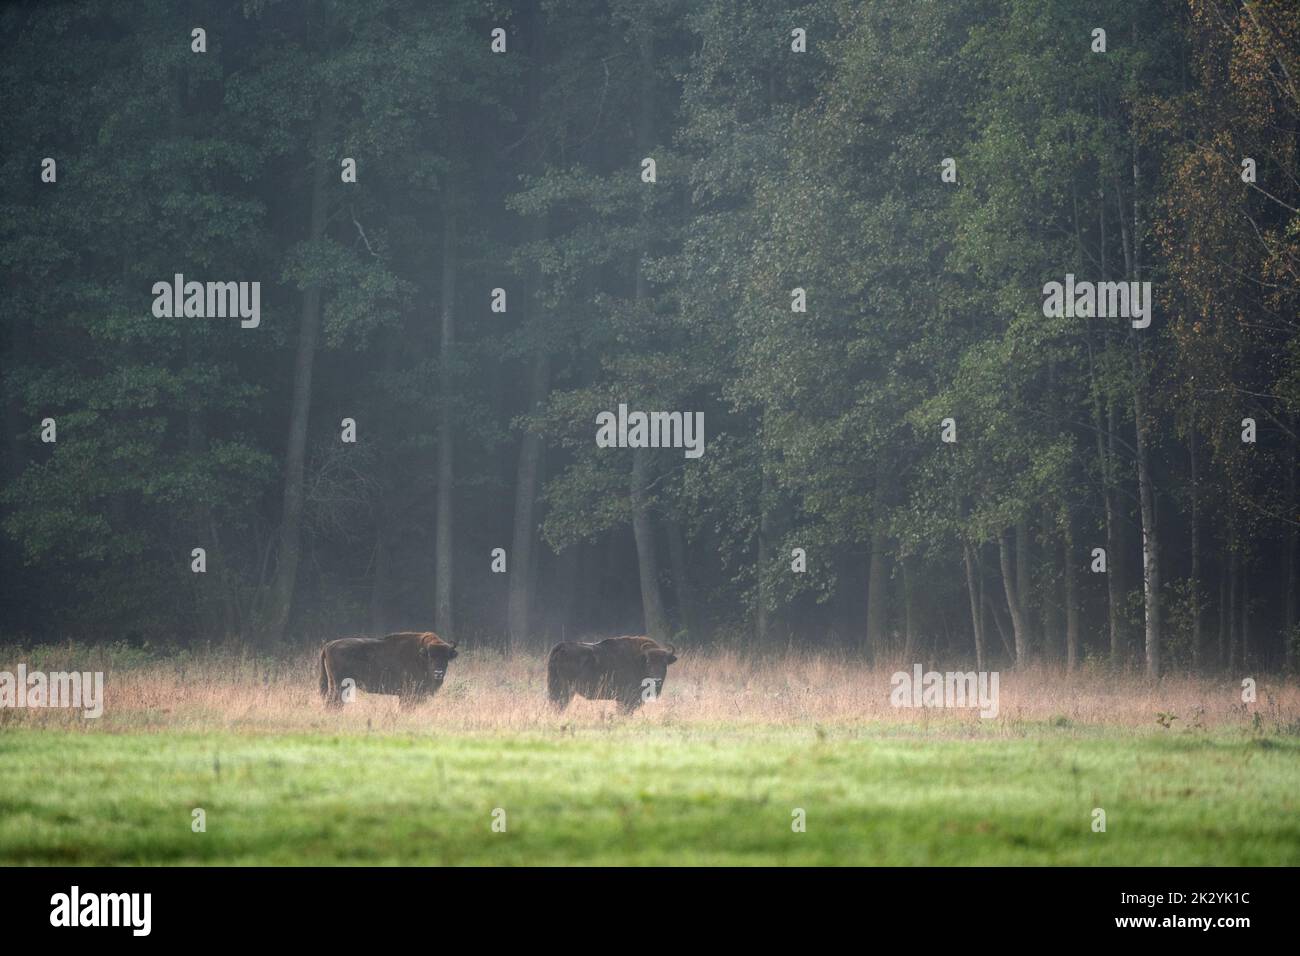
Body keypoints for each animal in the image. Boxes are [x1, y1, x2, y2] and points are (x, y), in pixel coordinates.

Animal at [319, 631, 458, 707]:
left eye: (446, 657)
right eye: (431, 657)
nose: (438, 673)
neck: (420, 655)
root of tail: (328, 645)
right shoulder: (408, 694)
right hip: (339, 686)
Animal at [547, 635, 678, 713]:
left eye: (664, 664)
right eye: (648, 663)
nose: (657, 680)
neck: (639, 660)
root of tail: (561, 647)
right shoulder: (627, 699)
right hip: (564, 690)